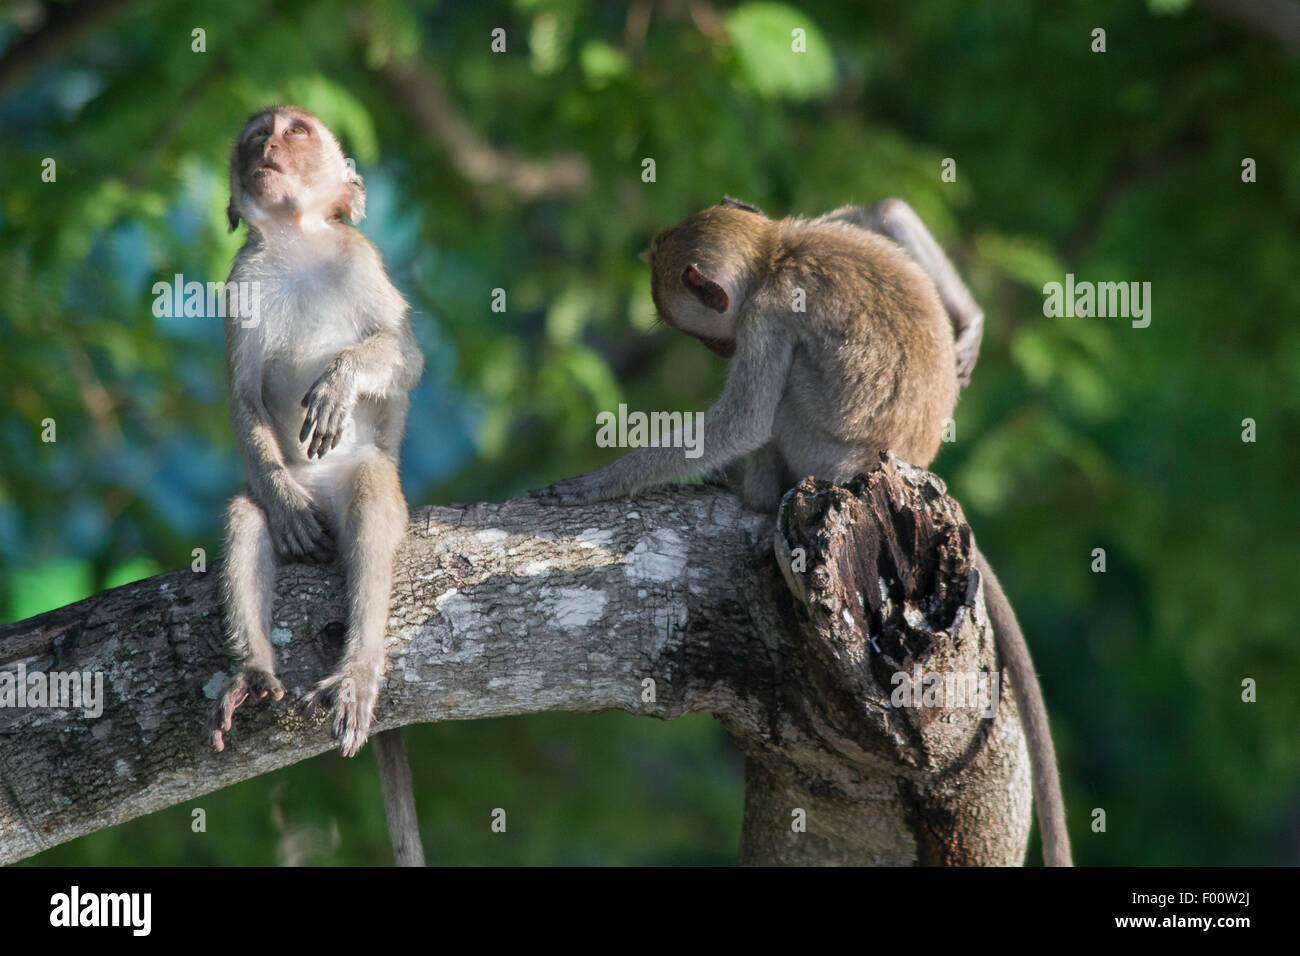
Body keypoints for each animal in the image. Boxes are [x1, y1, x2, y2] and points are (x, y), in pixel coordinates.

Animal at [207, 105, 426, 866]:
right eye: (254, 136)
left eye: (295, 130)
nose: (267, 147)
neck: (298, 242)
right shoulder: (240, 278)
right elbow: (243, 397)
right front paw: (275, 493)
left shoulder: (359, 258)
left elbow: (403, 355)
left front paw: (341, 378)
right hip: (303, 494)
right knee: (249, 515)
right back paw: (255, 671)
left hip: (347, 478)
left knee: (371, 496)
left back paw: (358, 667)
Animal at [532, 198, 1071, 867]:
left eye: (709, 333)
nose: (718, 349)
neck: (775, 253)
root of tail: (906, 462)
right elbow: (881, 212)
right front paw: (969, 323)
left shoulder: (767, 317)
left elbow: (744, 422)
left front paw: (598, 483)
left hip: (818, 445)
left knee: (782, 407)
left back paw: (754, 492)